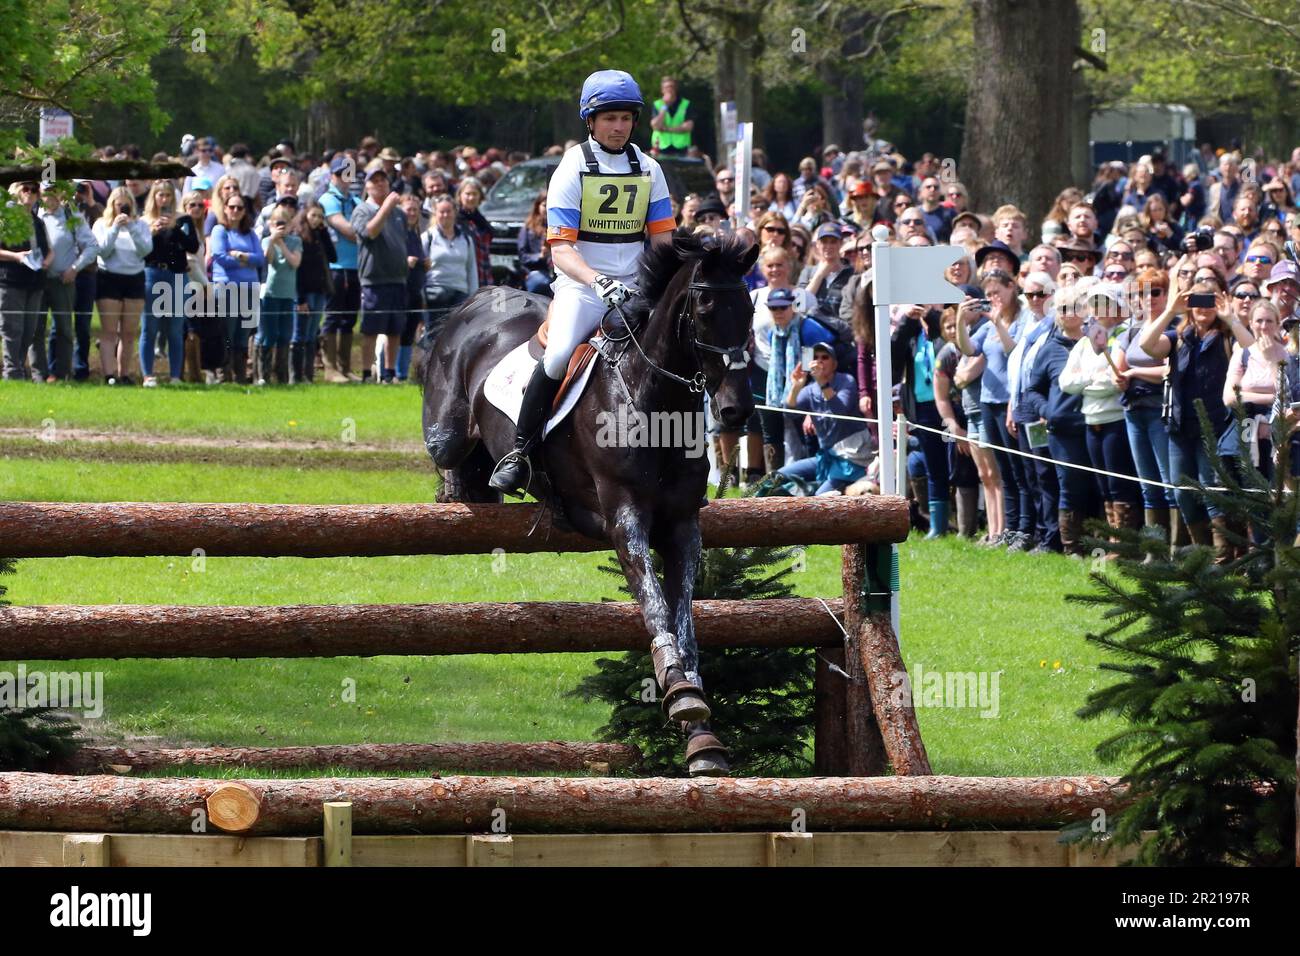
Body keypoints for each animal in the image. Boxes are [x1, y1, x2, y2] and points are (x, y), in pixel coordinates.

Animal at [421, 232, 759, 775]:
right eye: (705, 309)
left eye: (748, 309)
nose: (735, 410)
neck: (652, 399)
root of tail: (482, 296)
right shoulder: (625, 520)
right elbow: (655, 606)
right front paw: (680, 693)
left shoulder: (684, 526)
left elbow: (683, 618)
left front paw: (701, 735)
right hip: (446, 430)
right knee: (450, 454)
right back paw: (475, 480)